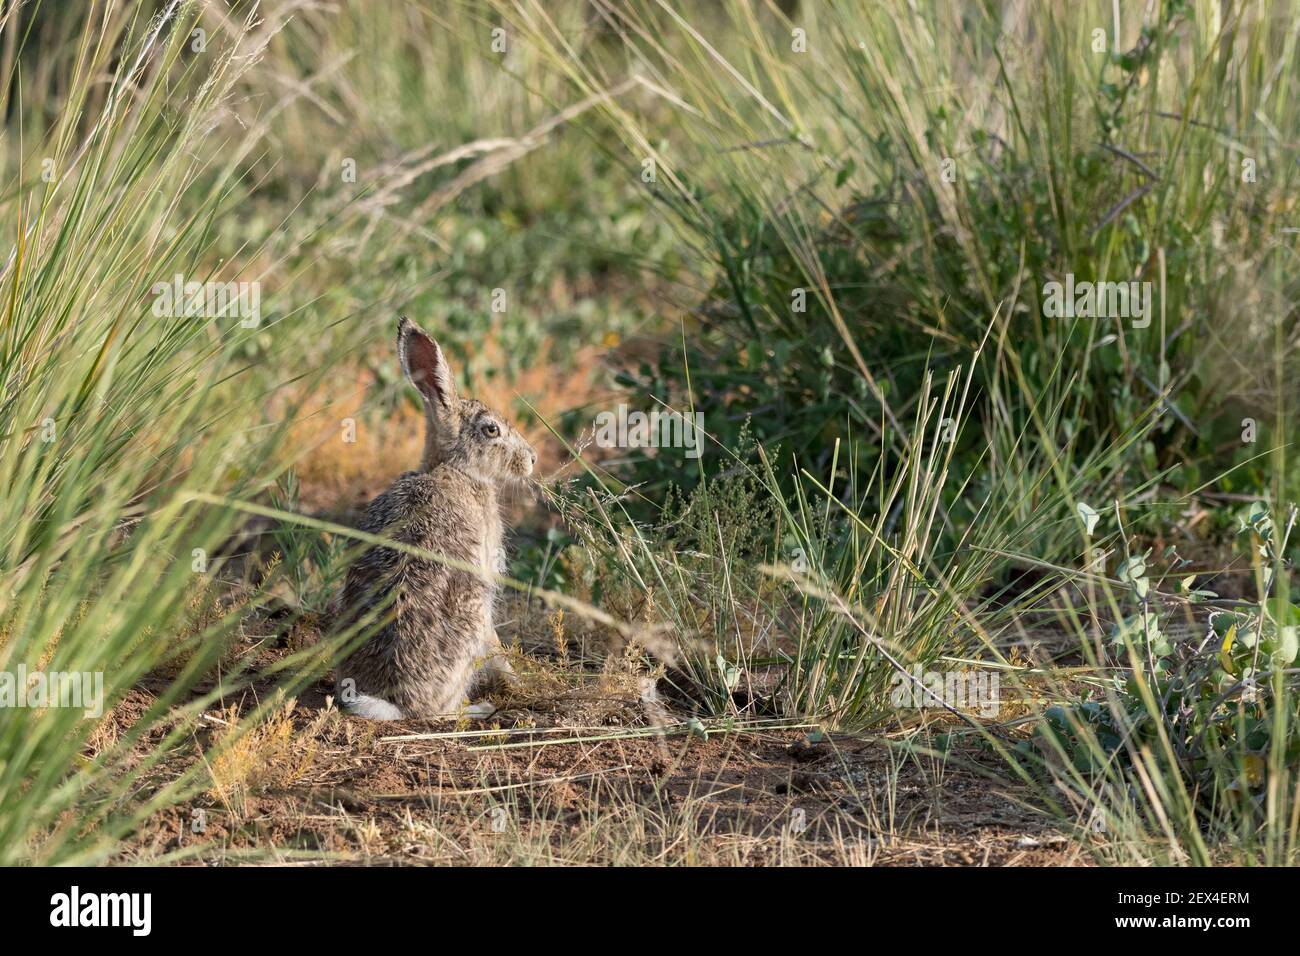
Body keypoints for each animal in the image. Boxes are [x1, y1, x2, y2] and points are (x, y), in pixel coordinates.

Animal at [334, 316, 536, 720]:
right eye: (492, 429)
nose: (532, 459)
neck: (453, 468)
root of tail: (395, 704)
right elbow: (496, 644)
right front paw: (518, 681)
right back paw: (477, 709)